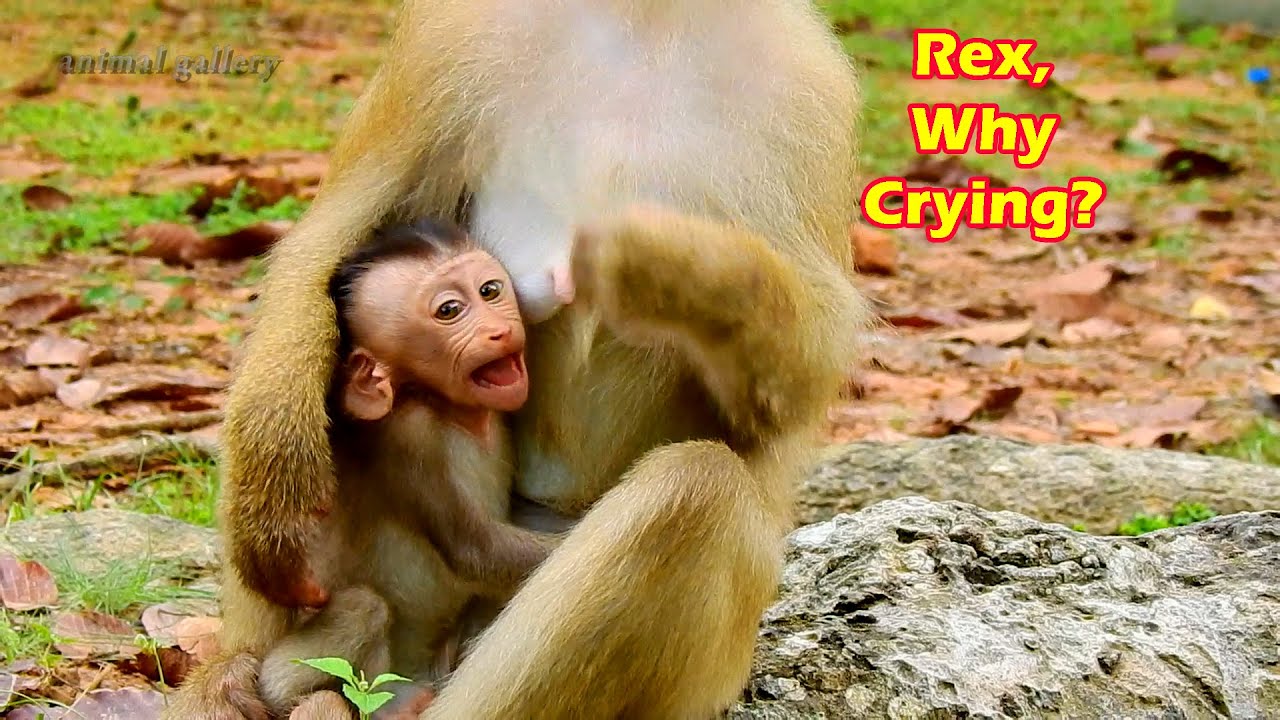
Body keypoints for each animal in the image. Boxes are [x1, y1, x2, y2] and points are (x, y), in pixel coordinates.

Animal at [253, 220, 559, 718]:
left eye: (490, 290)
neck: (454, 411)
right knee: (361, 612)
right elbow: (474, 547)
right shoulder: (410, 435)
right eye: (450, 310)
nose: (497, 331)